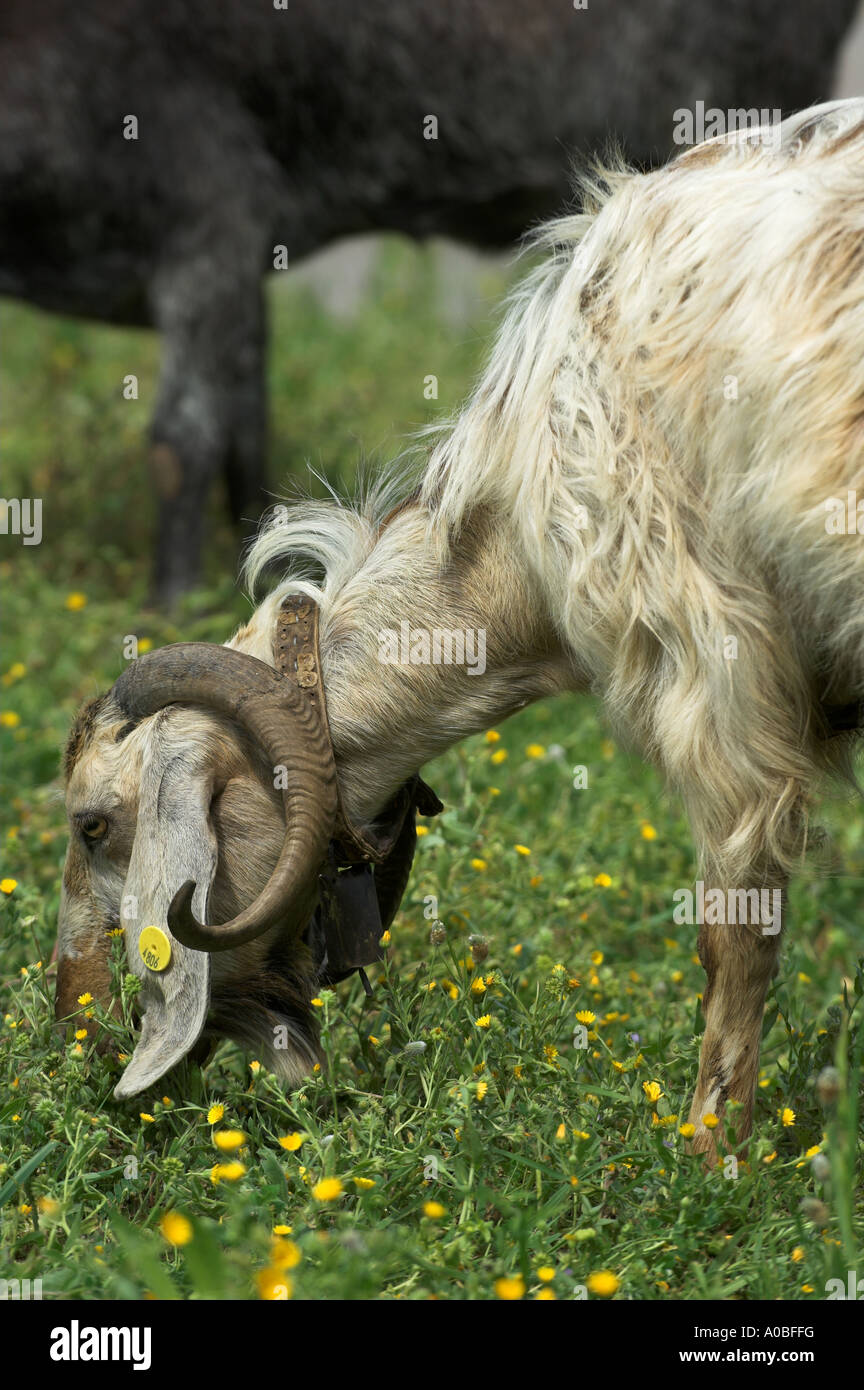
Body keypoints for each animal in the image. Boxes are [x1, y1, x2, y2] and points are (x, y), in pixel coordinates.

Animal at [57, 99, 864, 1162]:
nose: (68, 1028)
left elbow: (736, 928)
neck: (509, 534)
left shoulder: (714, 670)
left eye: (94, 824)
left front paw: (708, 1154)